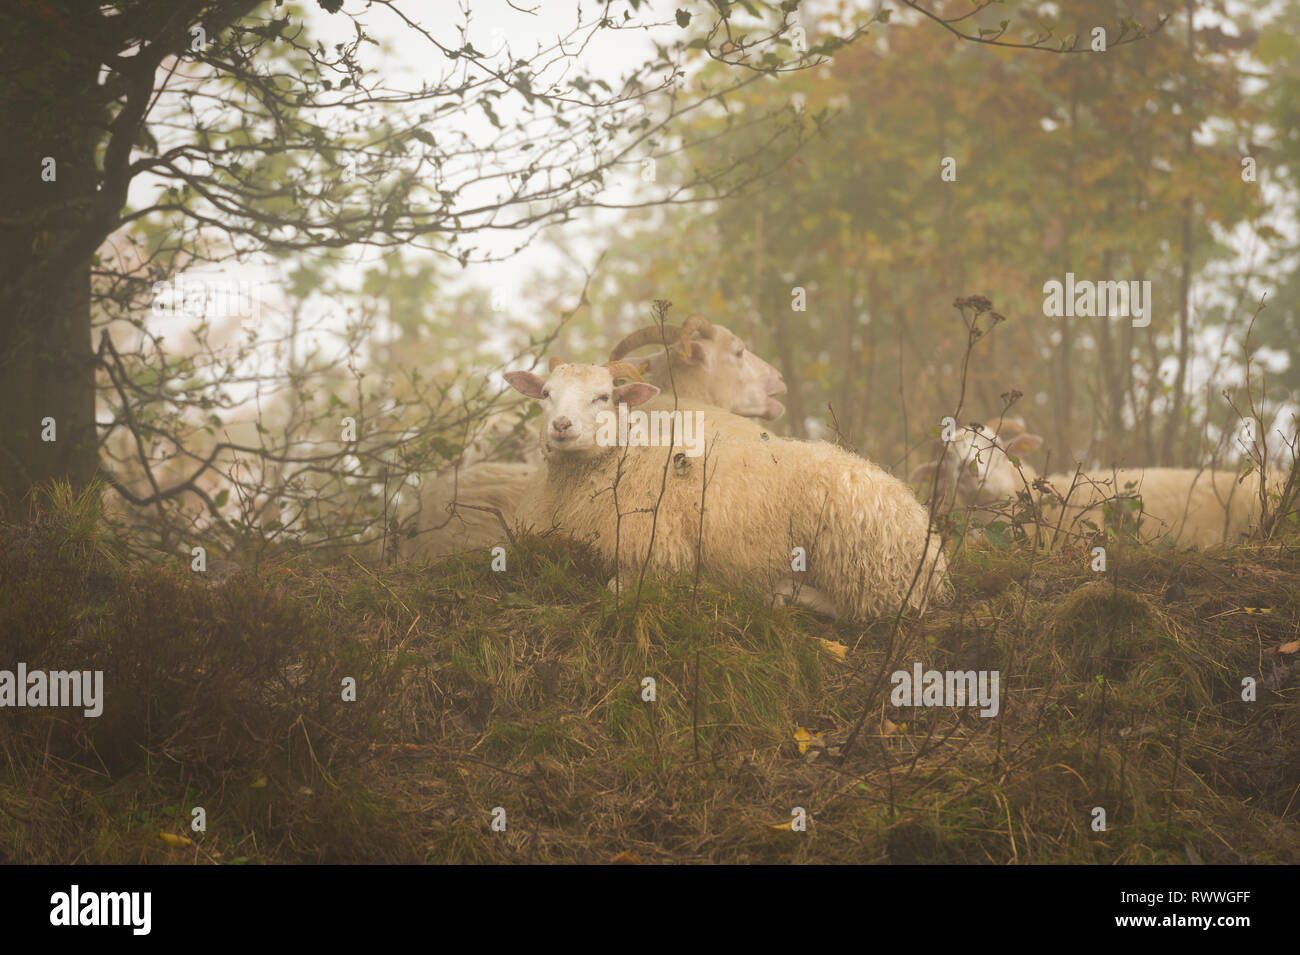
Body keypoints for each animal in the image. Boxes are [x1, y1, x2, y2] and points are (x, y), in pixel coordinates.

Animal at [503, 360, 951, 621]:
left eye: (602, 396)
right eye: (546, 394)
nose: (561, 426)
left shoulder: (661, 556)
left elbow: (616, 587)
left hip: (866, 567)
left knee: (867, 610)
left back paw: (784, 594)